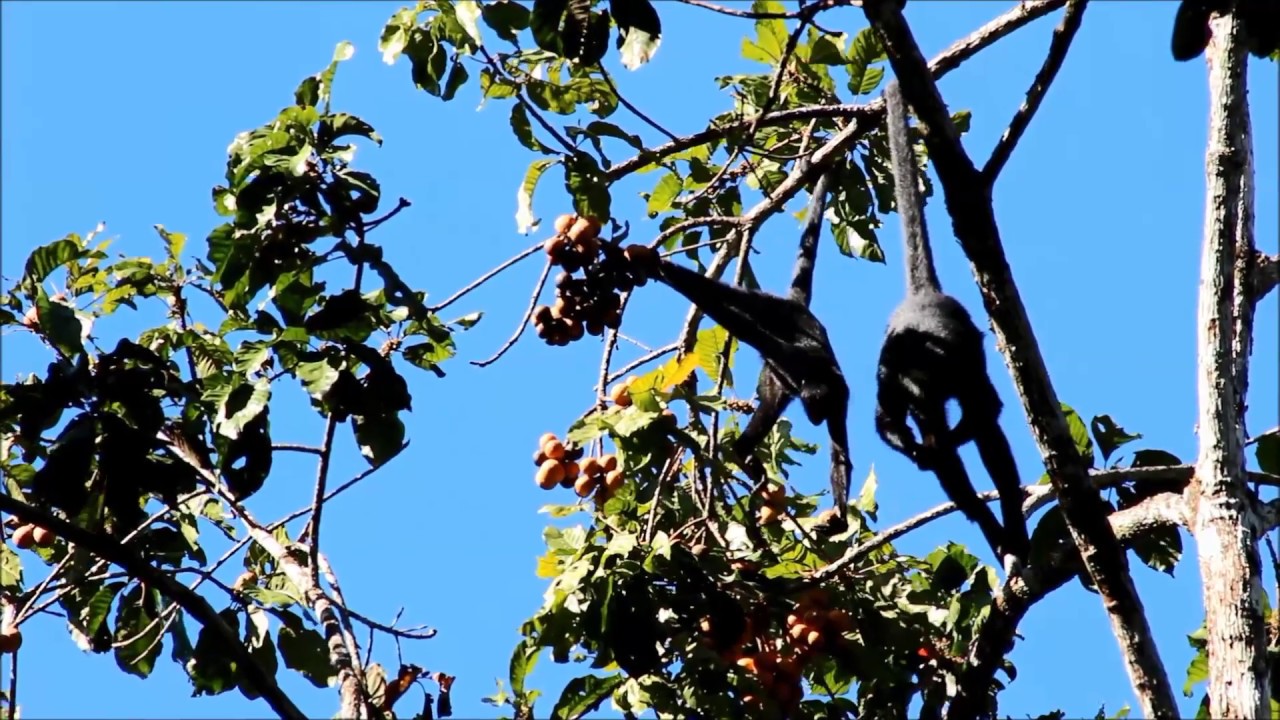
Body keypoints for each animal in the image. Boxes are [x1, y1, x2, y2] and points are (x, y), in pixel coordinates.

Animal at [646, 171, 852, 515]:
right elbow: (745, 330)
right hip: (771, 308)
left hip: (773, 380)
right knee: (733, 298)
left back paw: (742, 454)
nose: (814, 421)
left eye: (818, 412)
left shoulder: (840, 398)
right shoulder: (789, 357)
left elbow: (840, 452)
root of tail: (797, 307)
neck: (817, 376)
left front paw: (840, 516)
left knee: (768, 409)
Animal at [873, 81, 1030, 575]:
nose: (920, 399)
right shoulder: (889, 380)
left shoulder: (951, 368)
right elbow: (887, 422)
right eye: (910, 385)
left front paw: (944, 443)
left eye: (924, 373)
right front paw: (921, 446)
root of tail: (922, 296)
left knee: (987, 430)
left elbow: (986, 413)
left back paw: (1011, 524)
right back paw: (990, 525)